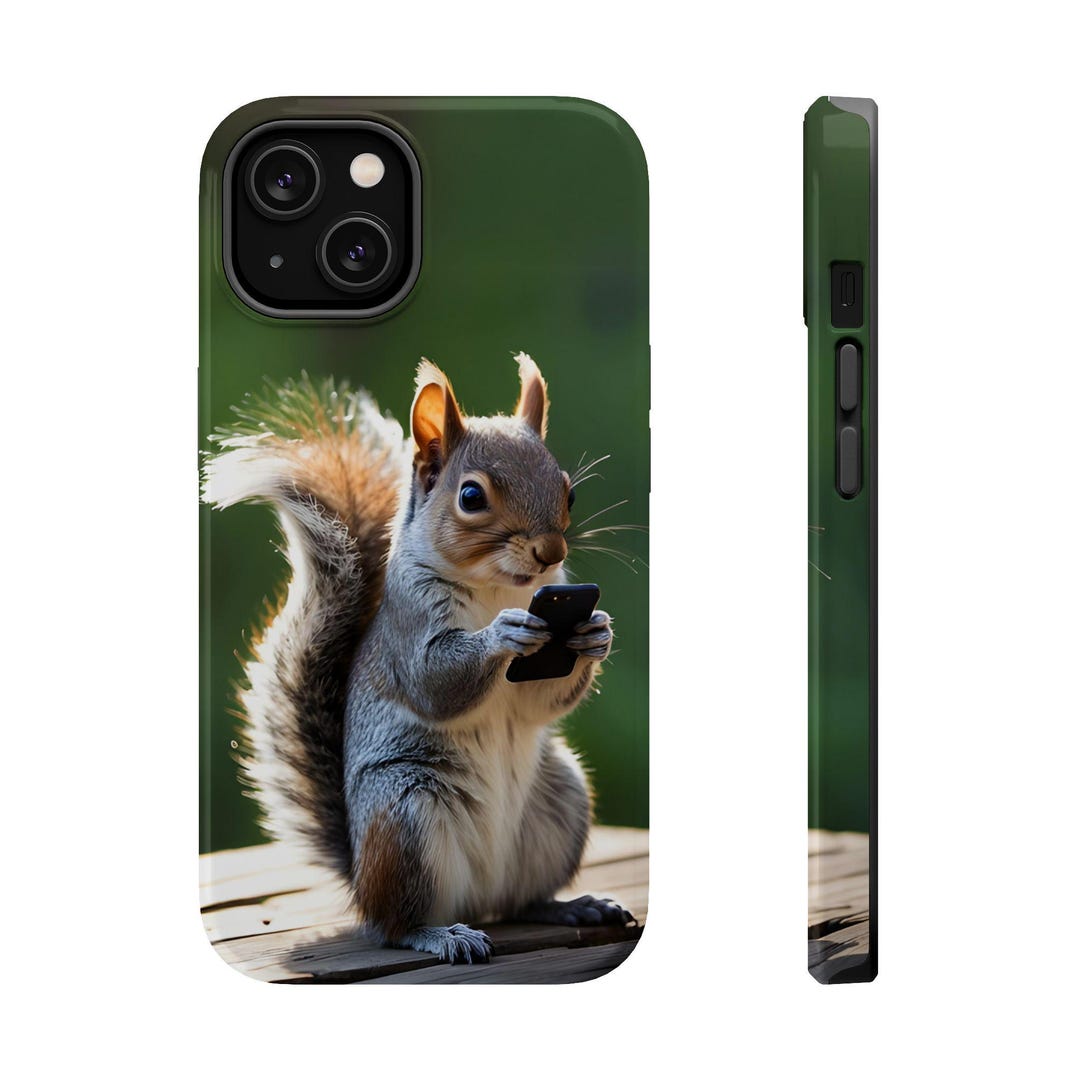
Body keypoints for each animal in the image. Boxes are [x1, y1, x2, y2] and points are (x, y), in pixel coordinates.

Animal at [202, 352, 633, 963]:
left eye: (569, 492)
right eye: (471, 497)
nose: (550, 551)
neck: (496, 588)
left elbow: (538, 703)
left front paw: (596, 632)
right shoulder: (409, 627)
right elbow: (435, 684)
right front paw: (504, 633)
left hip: (561, 800)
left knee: (520, 901)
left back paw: (570, 906)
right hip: (406, 814)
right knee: (394, 924)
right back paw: (440, 934)